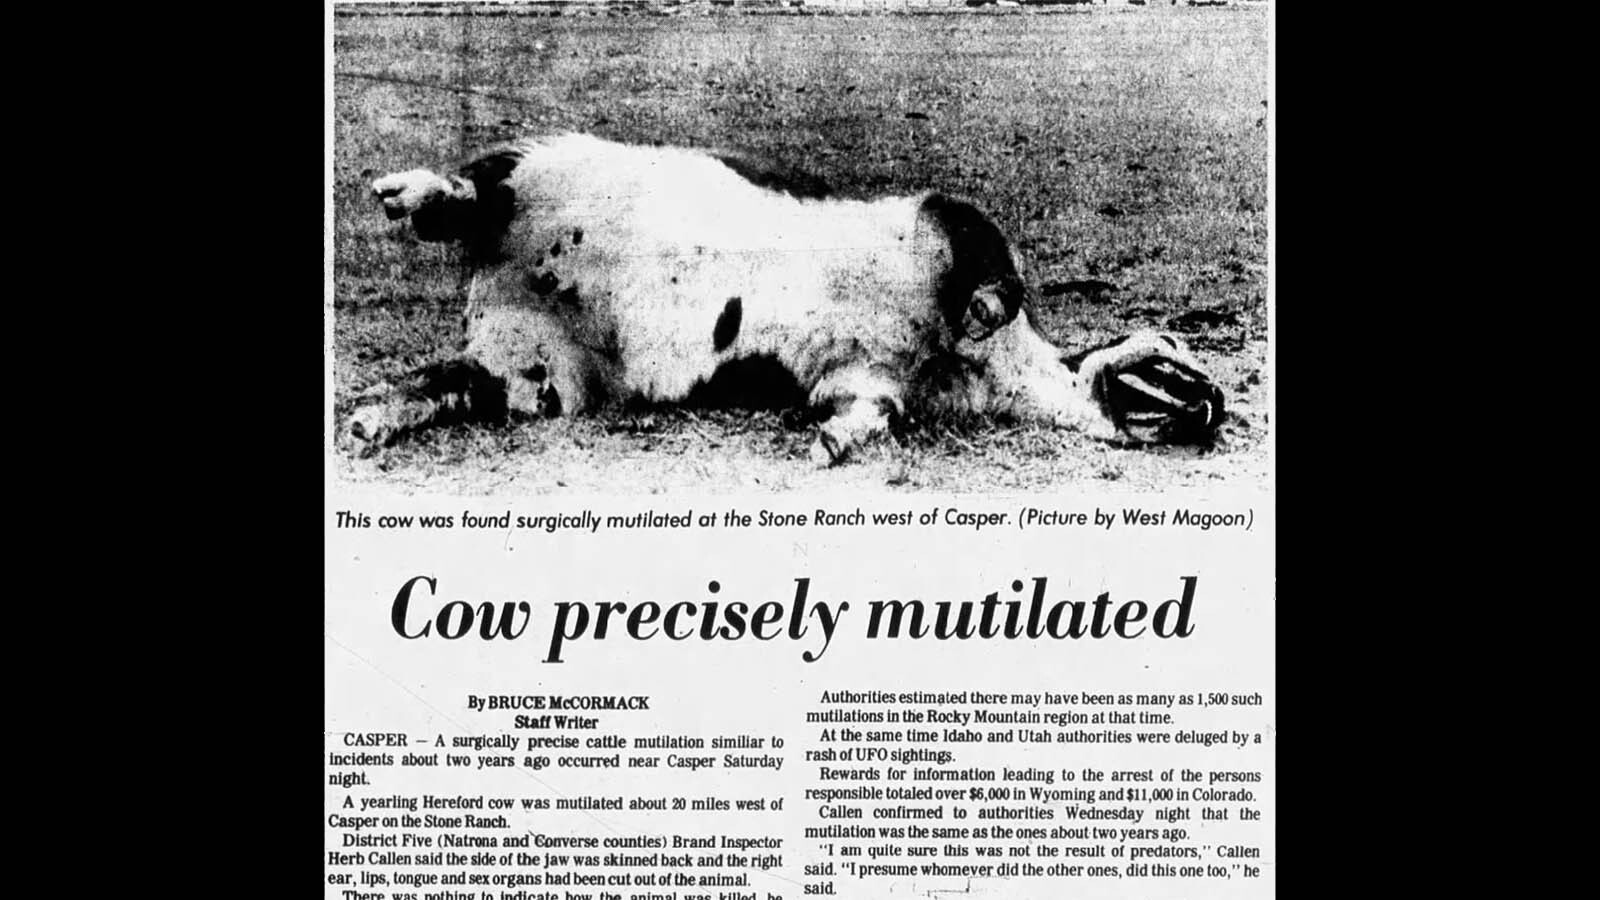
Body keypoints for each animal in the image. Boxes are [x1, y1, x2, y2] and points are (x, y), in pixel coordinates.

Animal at [348, 133, 1223, 465]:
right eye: (1173, 349)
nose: (1215, 403)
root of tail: (496, 288)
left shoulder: (866, 385)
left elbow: (867, 418)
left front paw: (830, 445)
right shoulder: (954, 222)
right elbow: (997, 278)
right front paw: (981, 311)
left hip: (533, 379)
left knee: (441, 382)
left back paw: (369, 421)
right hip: (548, 168)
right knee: (471, 188)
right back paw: (404, 193)